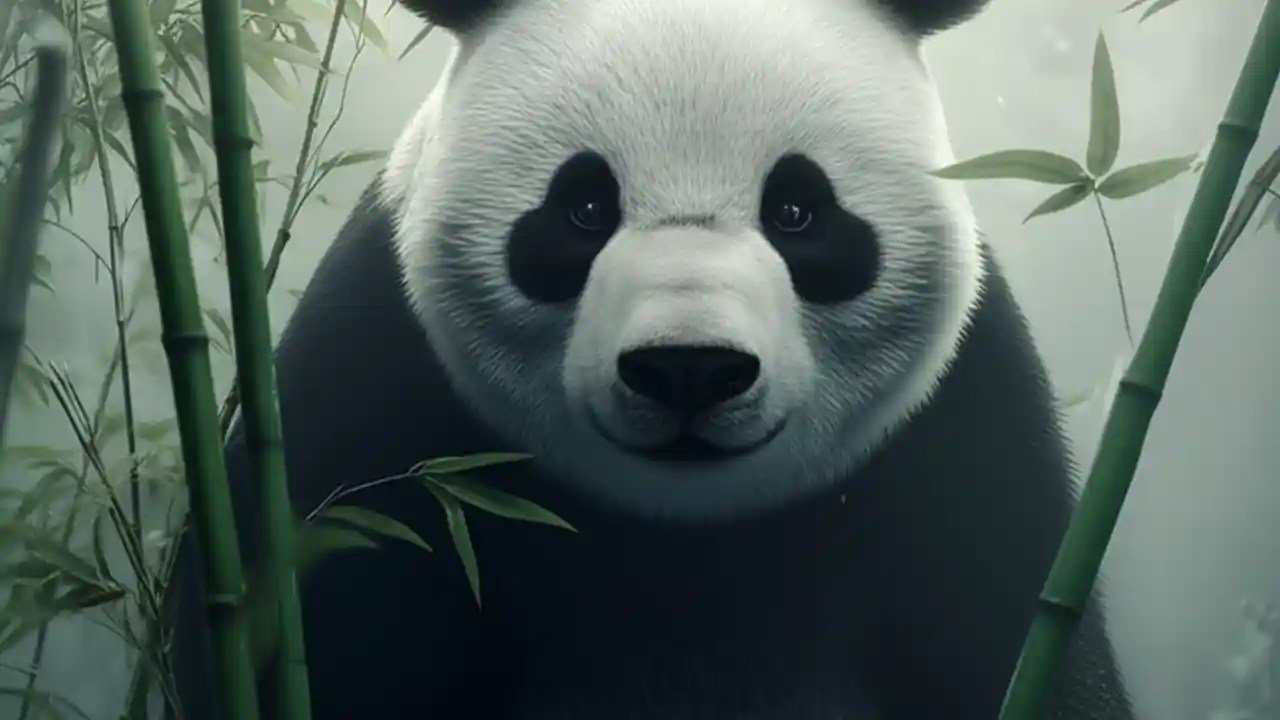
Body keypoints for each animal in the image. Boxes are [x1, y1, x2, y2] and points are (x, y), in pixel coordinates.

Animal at [169, 0, 1138, 718]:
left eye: (799, 211)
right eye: (583, 206)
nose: (689, 367)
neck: (683, 528)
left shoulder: (960, 433)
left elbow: (1022, 635)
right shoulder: (376, 384)